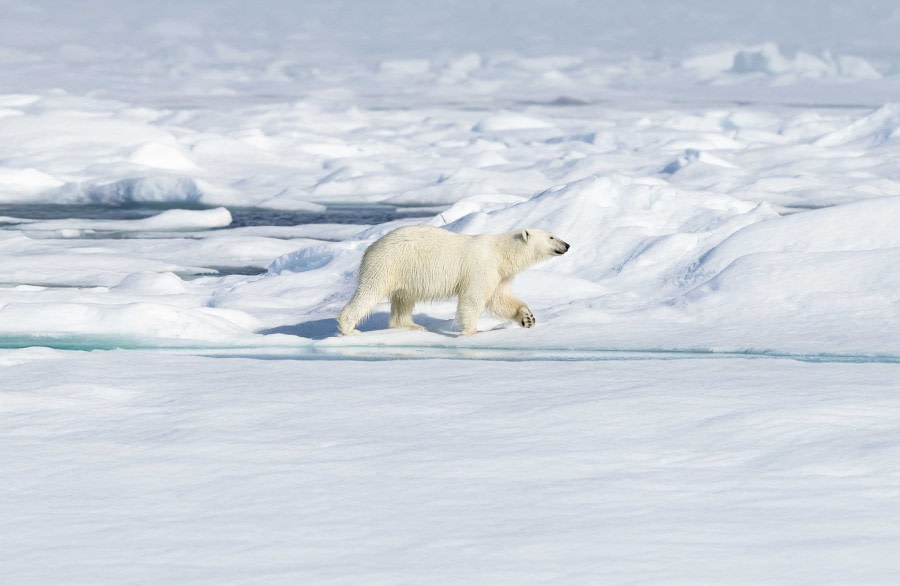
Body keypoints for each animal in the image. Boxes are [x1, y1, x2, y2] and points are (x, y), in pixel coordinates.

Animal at [337, 225, 570, 336]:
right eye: (551, 237)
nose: (567, 244)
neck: (501, 253)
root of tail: (370, 248)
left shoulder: (499, 275)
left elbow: (500, 299)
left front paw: (527, 318)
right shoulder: (480, 268)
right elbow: (473, 299)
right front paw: (470, 331)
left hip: (406, 275)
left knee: (404, 300)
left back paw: (414, 326)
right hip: (388, 265)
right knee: (369, 292)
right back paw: (349, 328)